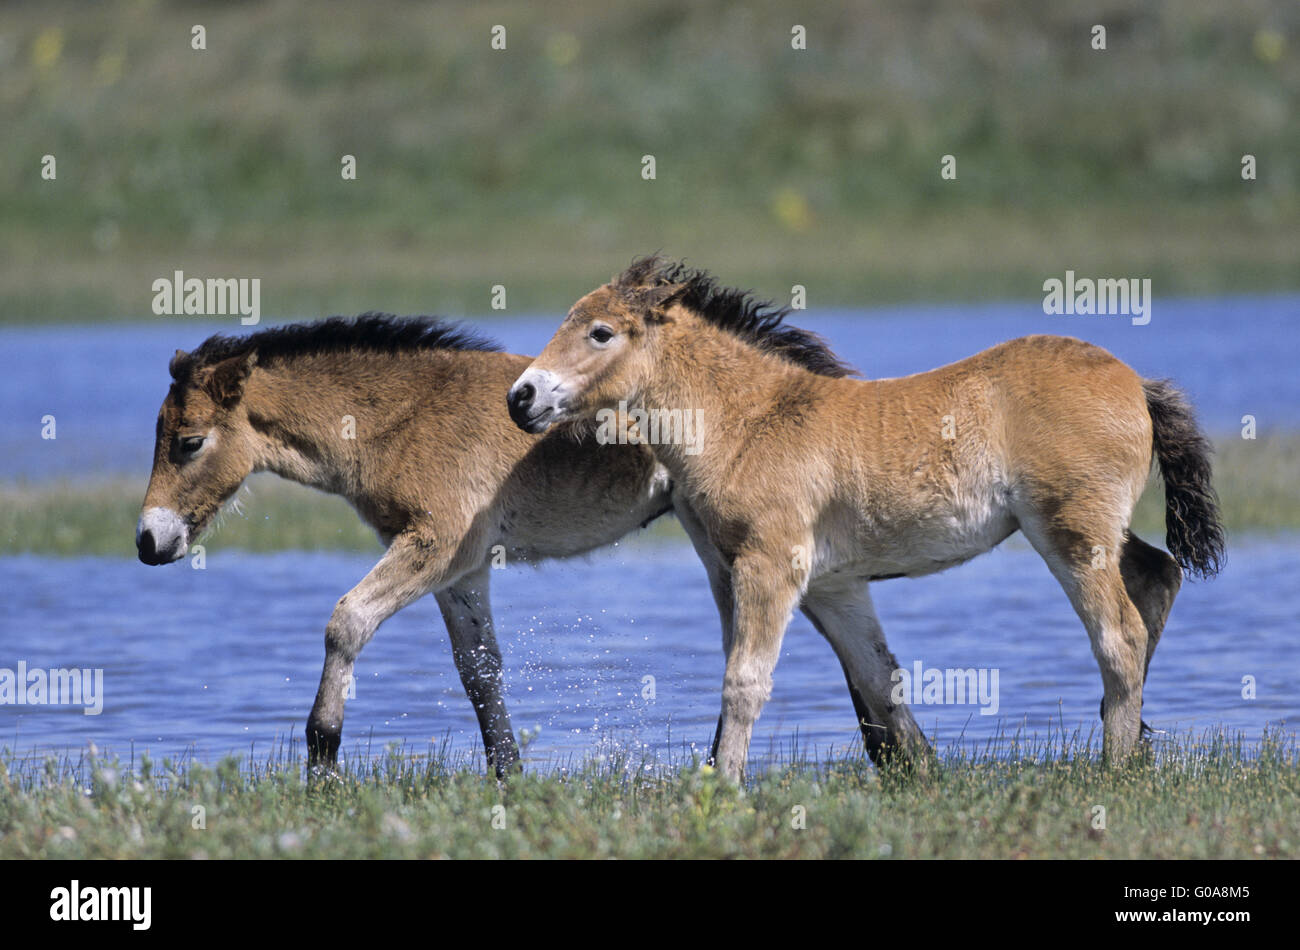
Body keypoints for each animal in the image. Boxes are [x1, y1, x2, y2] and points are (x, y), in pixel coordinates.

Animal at [136, 313, 684, 779]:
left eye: (190, 442)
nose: (148, 541)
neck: (404, 417)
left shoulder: (436, 546)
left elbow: (347, 622)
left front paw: (322, 766)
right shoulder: (462, 569)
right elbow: (479, 668)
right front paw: (508, 776)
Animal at [507, 256, 1226, 780]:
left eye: (600, 332)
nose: (522, 397)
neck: (749, 421)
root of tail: (1137, 385)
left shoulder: (771, 566)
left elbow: (744, 681)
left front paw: (724, 790)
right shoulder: (830, 584)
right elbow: (880, 679)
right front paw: (922, 779)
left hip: (1070, 532)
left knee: (1120, 634)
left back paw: (1114, 770)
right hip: (1096, 531)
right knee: (1158, 577)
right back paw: (1138, 743)